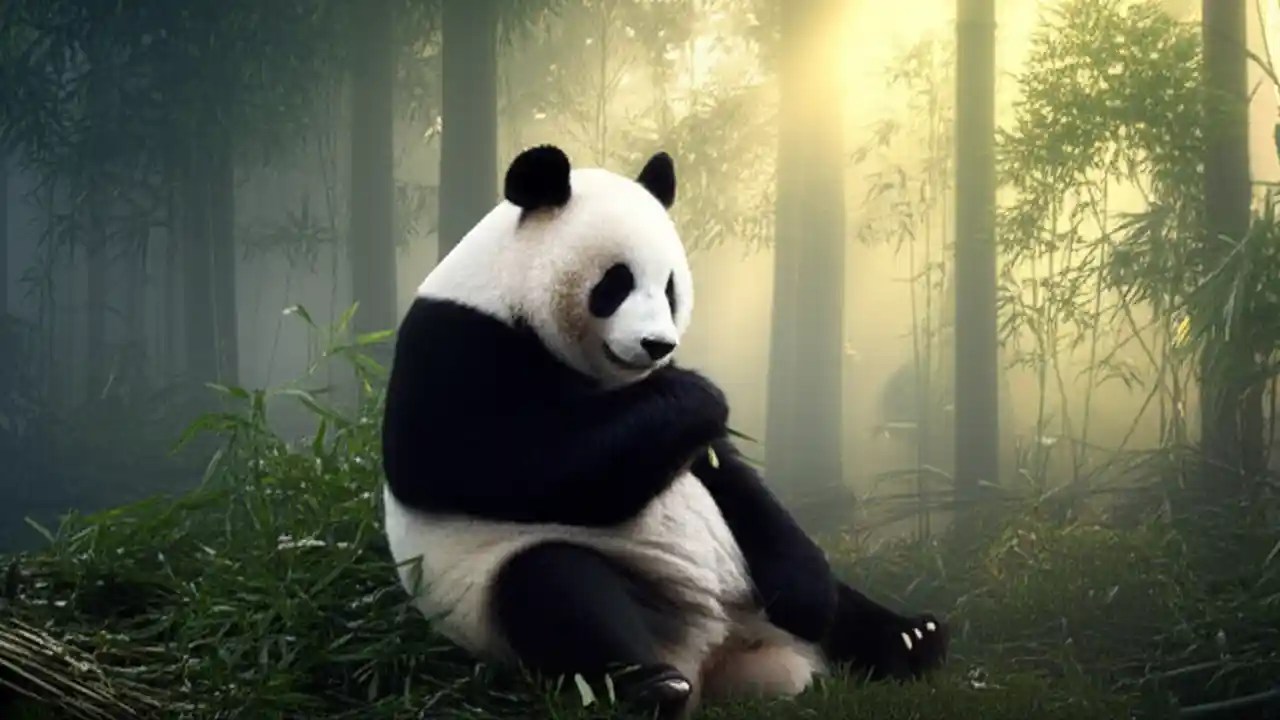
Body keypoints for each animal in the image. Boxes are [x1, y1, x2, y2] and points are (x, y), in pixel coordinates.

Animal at [380, 144, 949, 718]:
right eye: (615, 283)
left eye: (671, 287)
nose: (658, 345)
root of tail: (716, 656)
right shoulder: (456, 346)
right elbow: (500, 462)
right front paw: (697, 392)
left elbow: (729, 475)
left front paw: (808, 593)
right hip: (516, 588)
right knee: (556, 590)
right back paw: (651, 687)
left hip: (749, 592)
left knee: (845, 609)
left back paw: (912, 639)